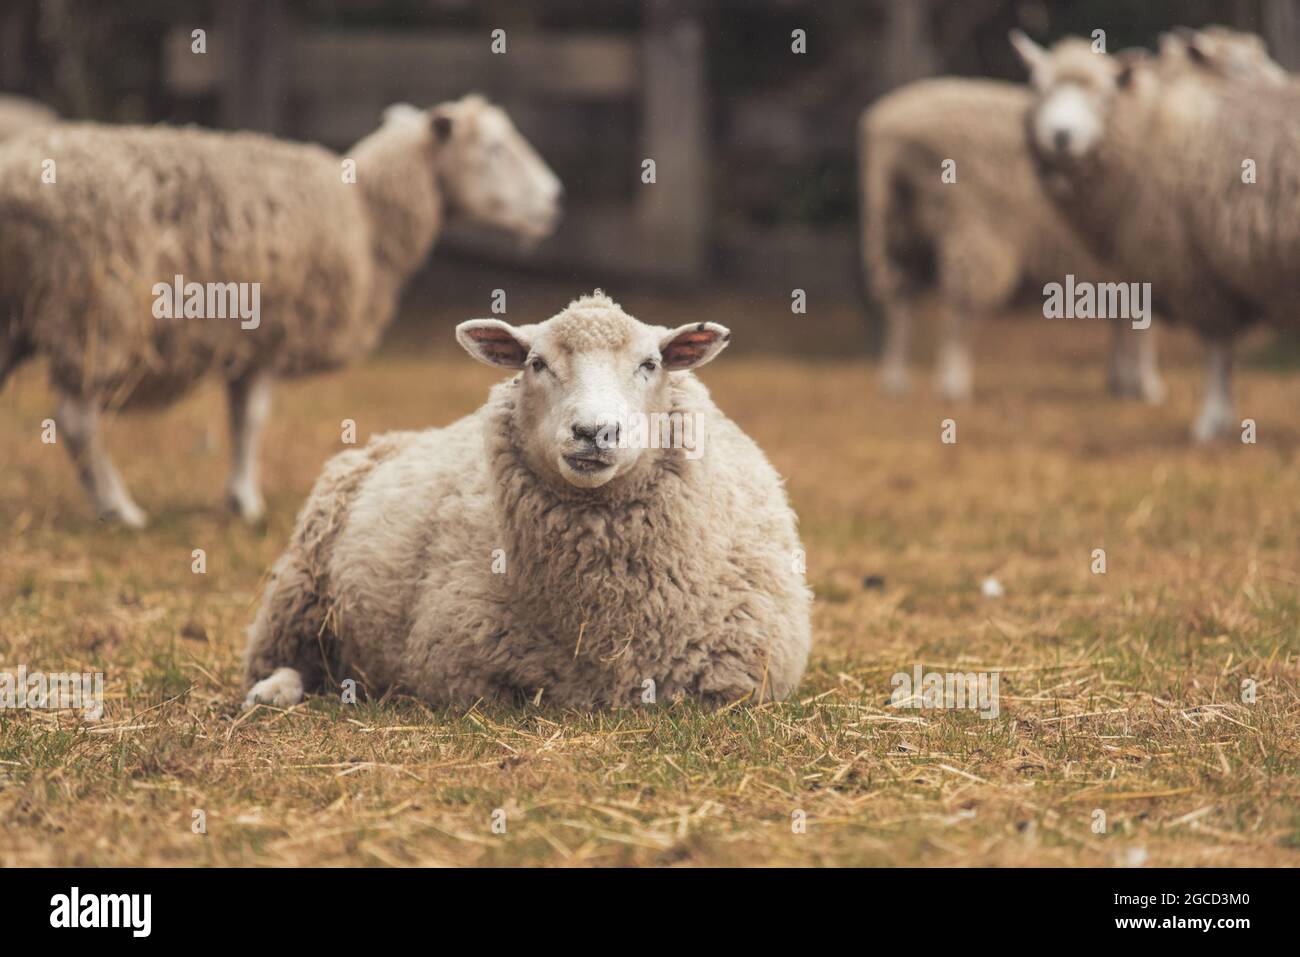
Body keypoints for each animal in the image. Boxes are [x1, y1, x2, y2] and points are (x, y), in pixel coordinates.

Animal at [0, 95, 561, 527]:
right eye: (493, 149)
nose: (555, 199)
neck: (367, 217)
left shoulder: (250, 340)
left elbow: (238, 417)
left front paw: (237, 496)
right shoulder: (273, 331)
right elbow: (251, 420)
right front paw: (247, 503)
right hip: (92, 313)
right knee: (77, 420)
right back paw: (118, 508)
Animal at [242, 291, 812, 710]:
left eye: (650, 364)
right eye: (537, 363)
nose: (593, 432)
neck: (607, 631)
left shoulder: (741, 678)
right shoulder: (461, 668)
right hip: (299, 590)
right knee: (289, 660)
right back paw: (271, 692)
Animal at [859, 77, 1164, 403]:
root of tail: (896, 129)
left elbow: (1124, 322)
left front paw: (1122, 381)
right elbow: (1141, 325)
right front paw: (1145, 385)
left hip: (896, 229)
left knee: (900, 301)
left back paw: (894, 380)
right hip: (973, 228)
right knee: (958, 306)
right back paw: (953, 382)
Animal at [1012, 29, 1299, 441]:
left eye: (1104, 95)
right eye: (1038, 87)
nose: (1061, 135)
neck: (1151, 131)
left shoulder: (1193, 265)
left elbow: (1215, 347)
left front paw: (1210, 421)